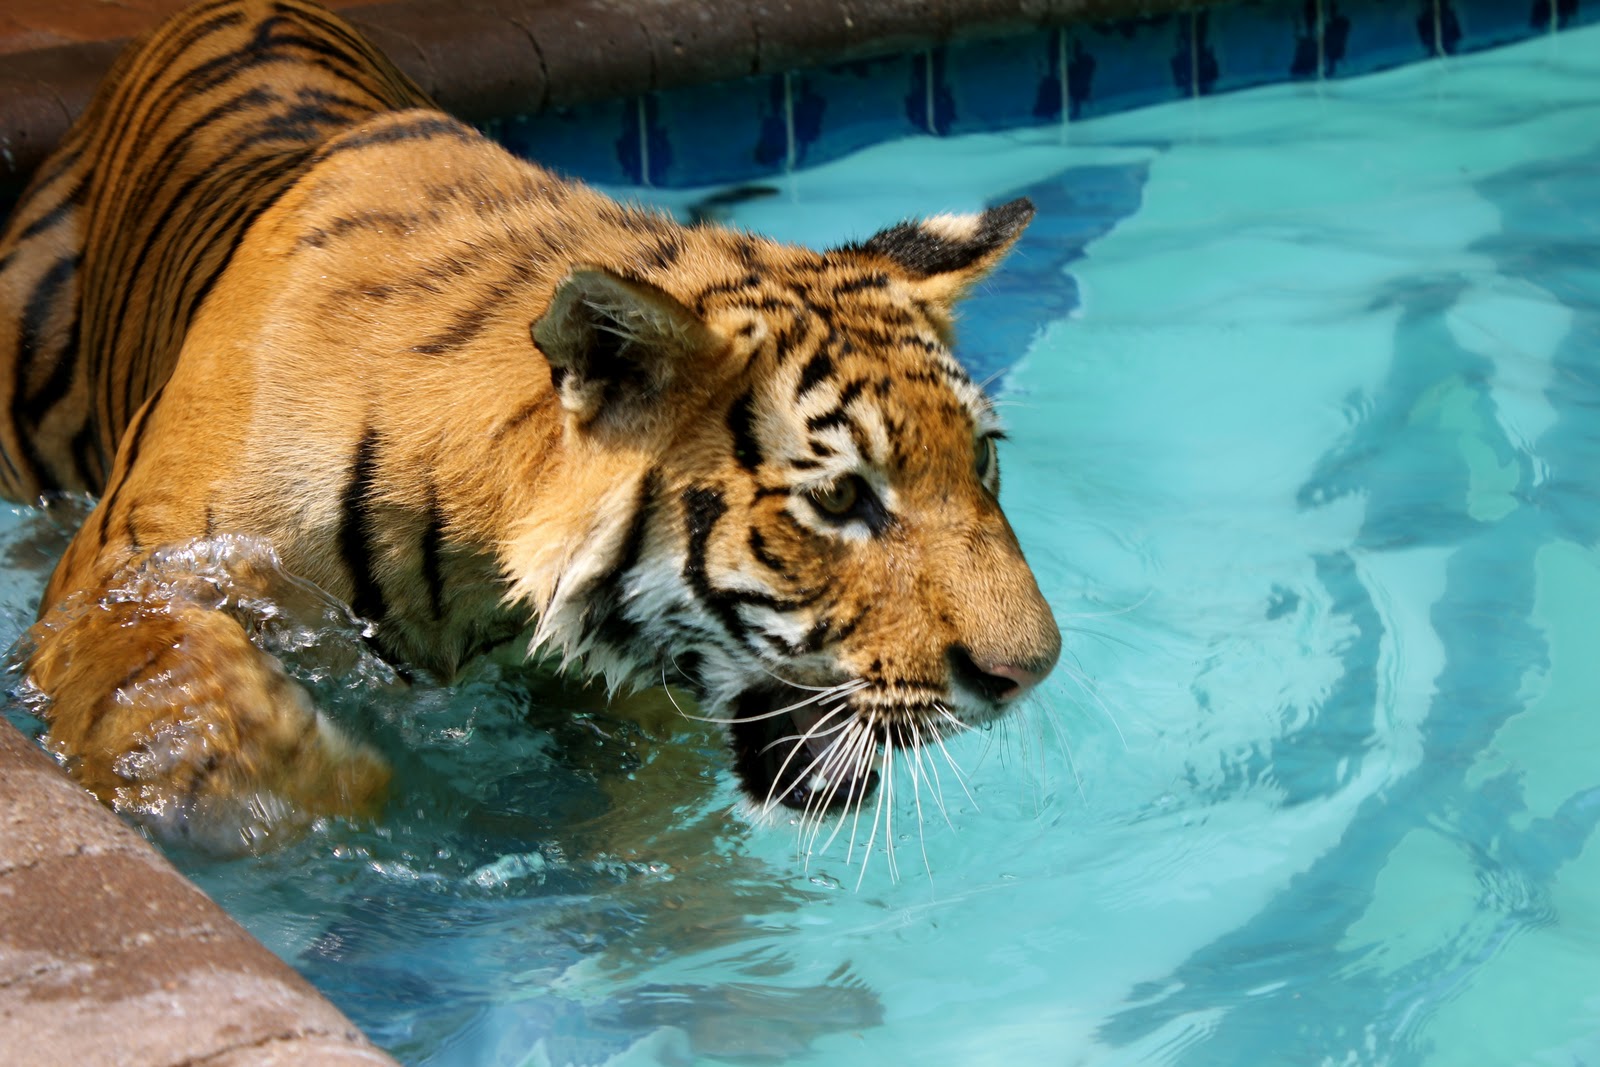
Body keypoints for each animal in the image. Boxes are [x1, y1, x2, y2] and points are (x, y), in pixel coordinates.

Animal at [0, 0, 1061, 850]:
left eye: (982, 461)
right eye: (840, 498)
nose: (1029, 674)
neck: (469, 566)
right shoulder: (118, 577)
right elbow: (177, 670)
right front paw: (328, 776)